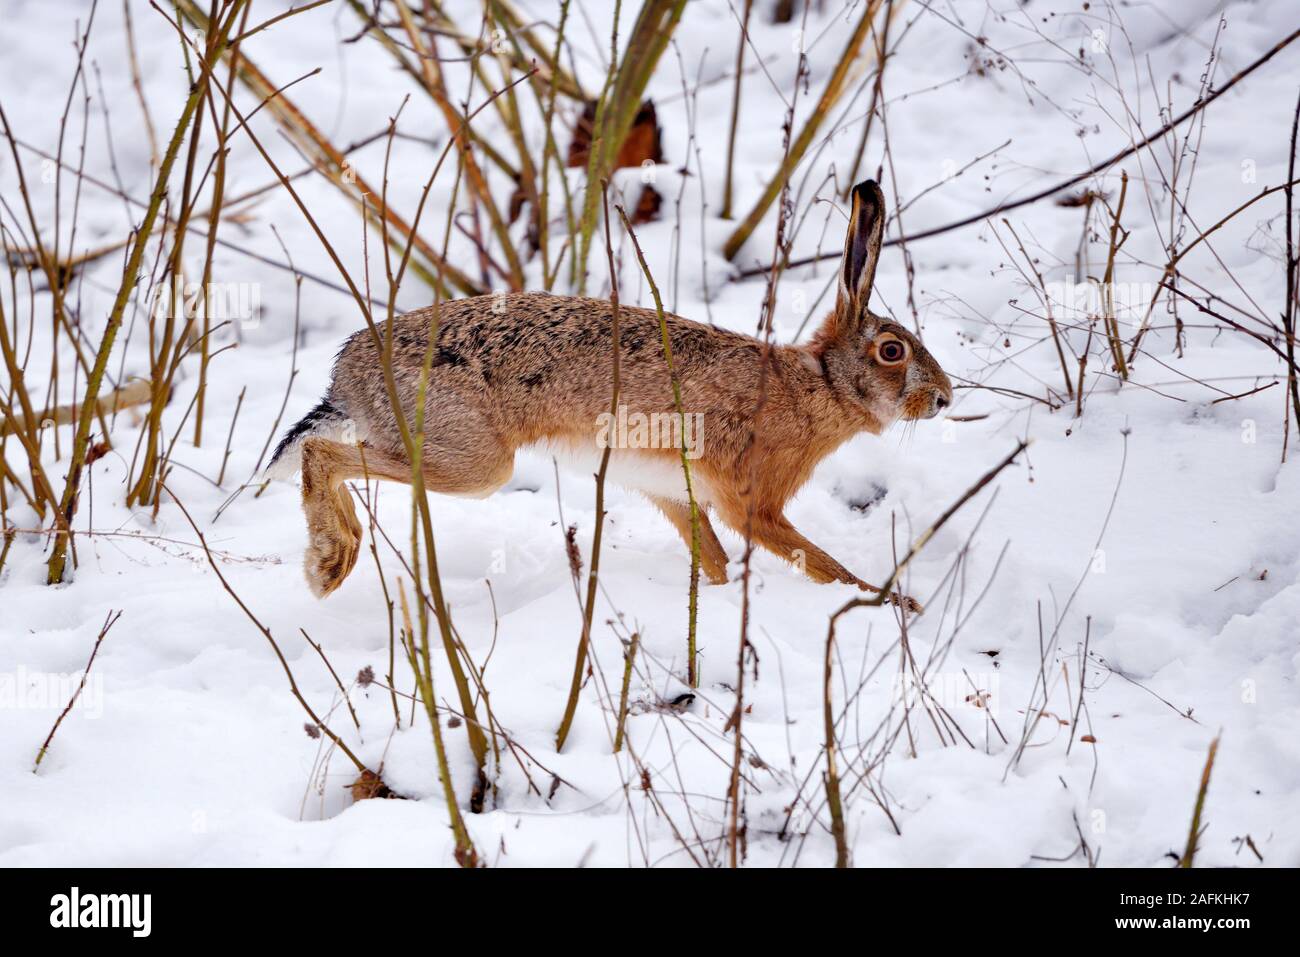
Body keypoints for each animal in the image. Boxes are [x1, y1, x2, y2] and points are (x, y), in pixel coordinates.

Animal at [266, 180, 953, 610]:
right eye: (892, 351)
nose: (945, 398)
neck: (821, 384)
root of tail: (346, 374)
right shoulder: (753, 501)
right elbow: (819, 562)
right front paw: (894, 602)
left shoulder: (678, 495)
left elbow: (716, 564)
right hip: (474, 461)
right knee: (321, 457)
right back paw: (328, 564)